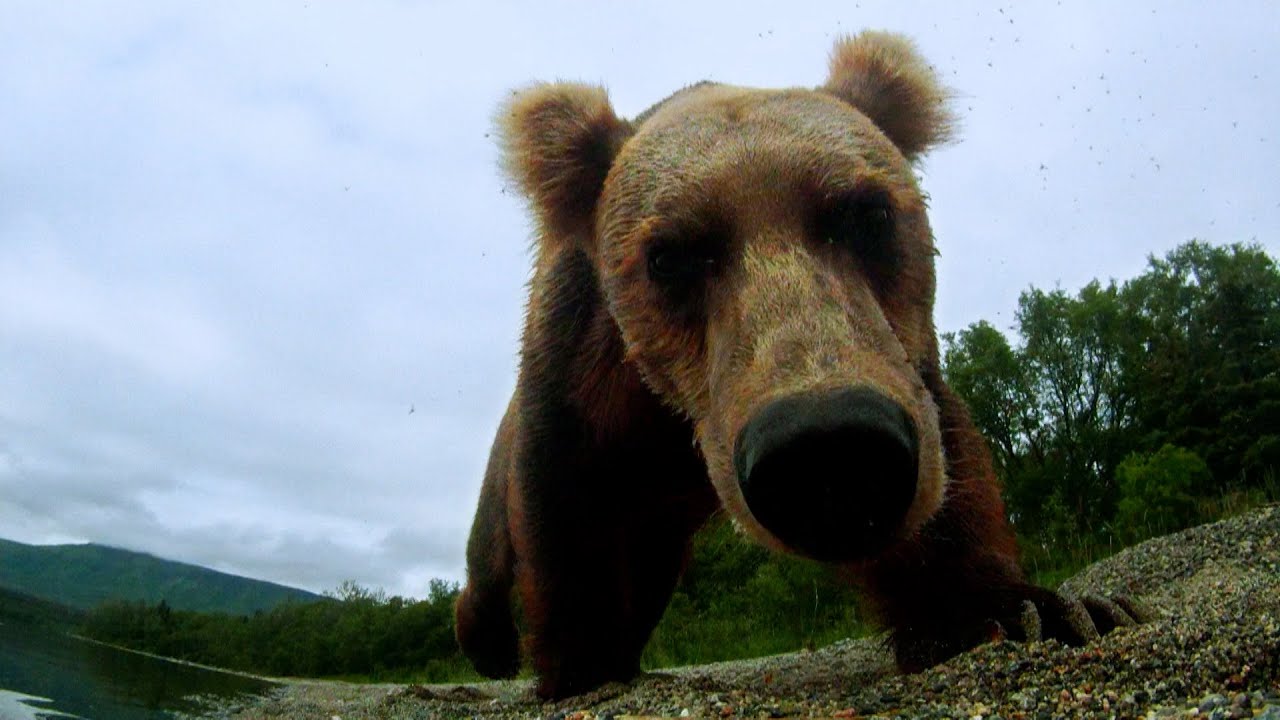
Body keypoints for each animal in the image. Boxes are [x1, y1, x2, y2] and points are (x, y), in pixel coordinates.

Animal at [454, 31, 1138, 700]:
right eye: (669, 257)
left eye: (868, 214)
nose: (826, 444)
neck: (677, 423)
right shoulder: (583, 372)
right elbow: (571, 503)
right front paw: (582, 664)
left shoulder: (899, 357)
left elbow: (951, 481)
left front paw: (1042, 610)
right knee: (493, 554)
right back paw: (491, 645)